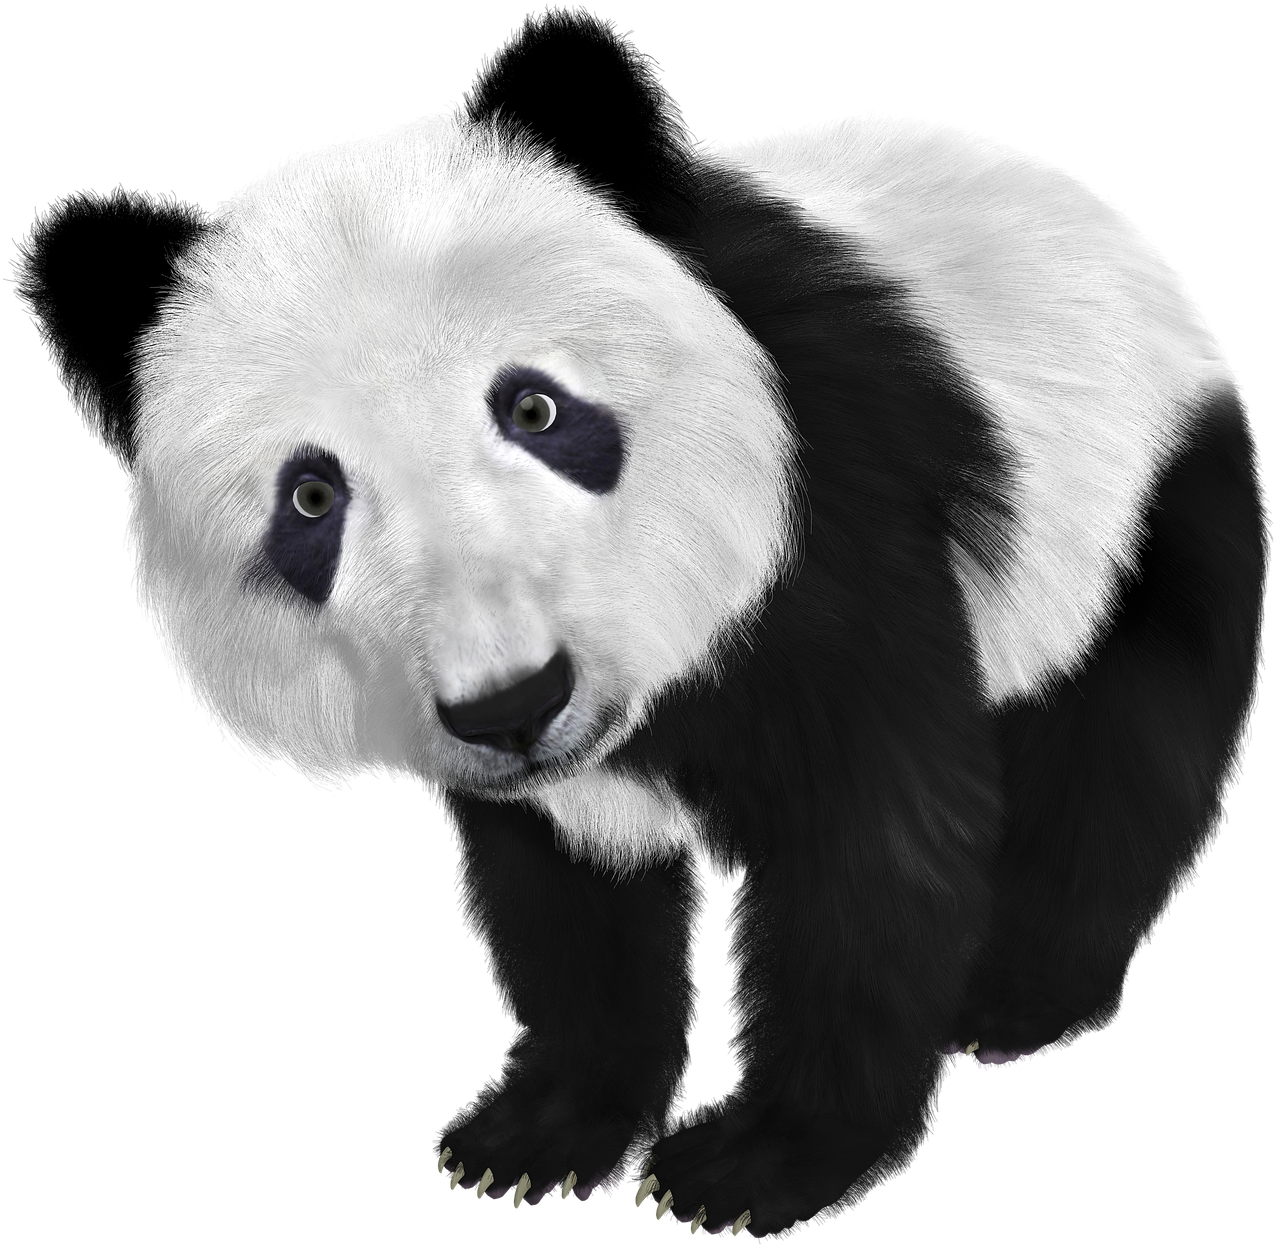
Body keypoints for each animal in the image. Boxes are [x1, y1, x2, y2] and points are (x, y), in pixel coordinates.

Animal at [121, 104, 1267, 1238]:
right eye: (311, 499)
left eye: (534, 409)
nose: (514, 705)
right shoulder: (529, 786)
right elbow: (567, 902)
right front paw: (541, 1137)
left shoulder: (835, 520)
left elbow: (861, 851)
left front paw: (760, 1162)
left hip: (1146, 501)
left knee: (1121, 753)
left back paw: (1017, 999)